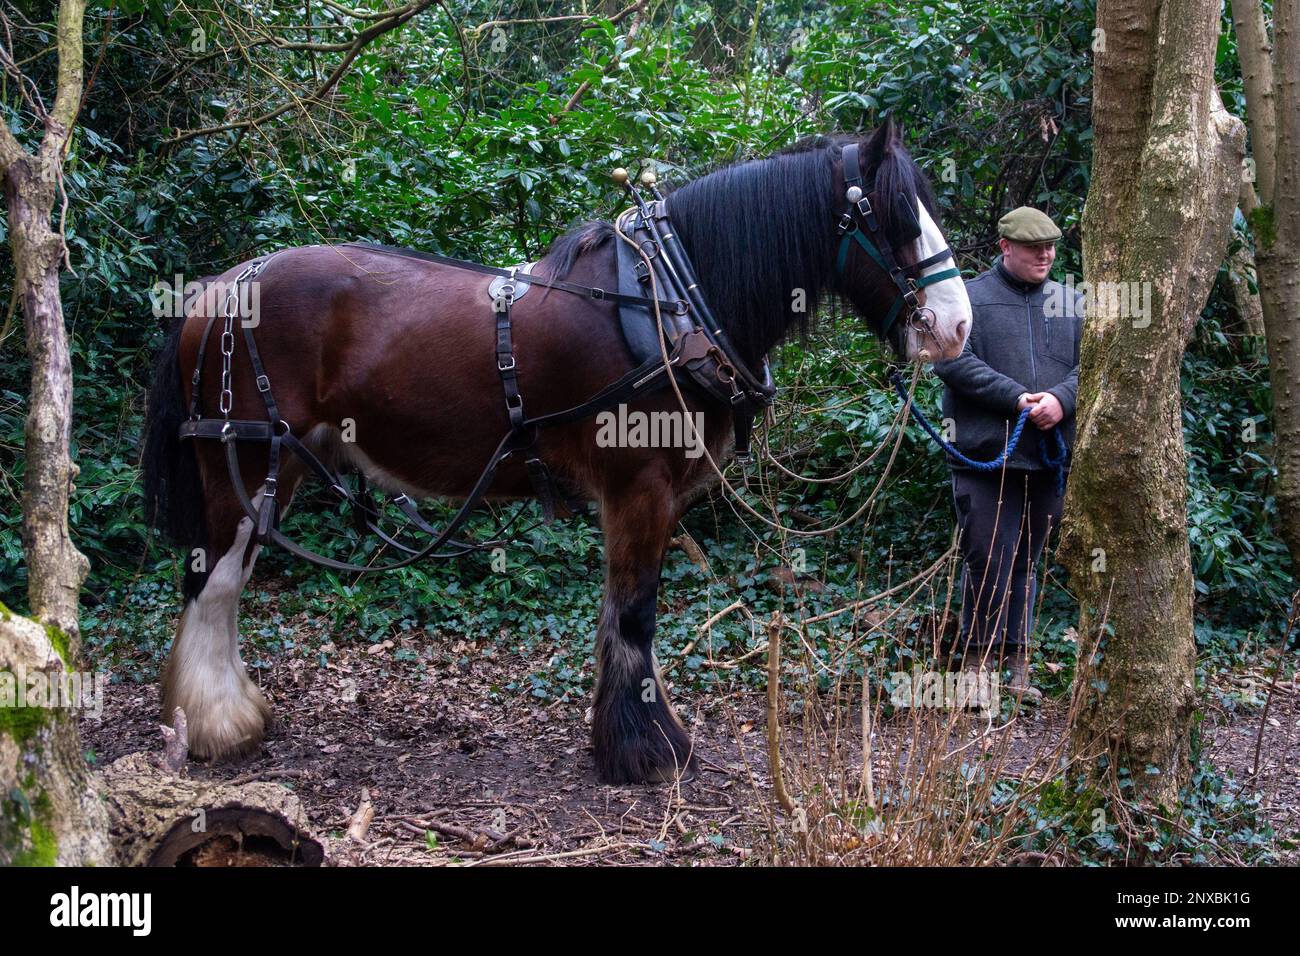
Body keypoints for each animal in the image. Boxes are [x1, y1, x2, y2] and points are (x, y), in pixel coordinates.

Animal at [141, 119, 971, 785]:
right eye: (897, 217)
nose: (957, 327)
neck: (667, 304)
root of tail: (219, 285)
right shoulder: (640, 486)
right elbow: (636, 615)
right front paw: (644, 752)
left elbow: (618, 614)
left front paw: (633, 738)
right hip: (241, 466)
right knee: (213, 585)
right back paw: (218, 724)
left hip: (274, 470)